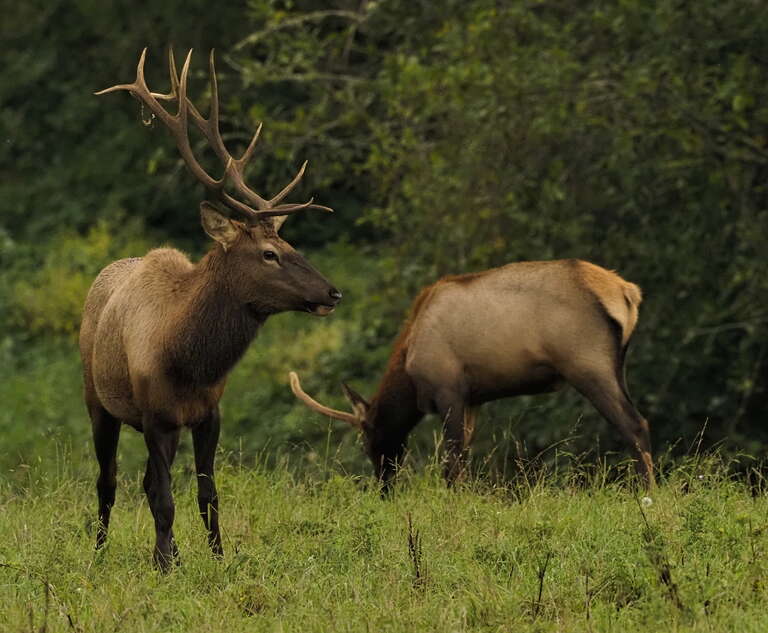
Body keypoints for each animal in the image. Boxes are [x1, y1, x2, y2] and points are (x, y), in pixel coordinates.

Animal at [79, 48, 342, 571]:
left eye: (291, 244)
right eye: (269, 253)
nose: (331, 292)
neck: (187, 359)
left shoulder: (208, 413)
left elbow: (207, 494)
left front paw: (216, 558)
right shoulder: (156, 415)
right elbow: (164, 498)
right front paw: (164, 565)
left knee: (143, 482)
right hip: (96, 399)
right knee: (109, 481)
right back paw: (99, 551)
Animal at [289, 259, 655, 491]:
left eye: (369, 437)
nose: (383, 485)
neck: (409, 368)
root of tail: (628, 292)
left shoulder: (448, 389)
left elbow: (452, 464)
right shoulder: (473, 399)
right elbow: (463, 457)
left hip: (587, 364)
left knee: (634, 425)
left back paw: (646, 493)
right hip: (616, 364)